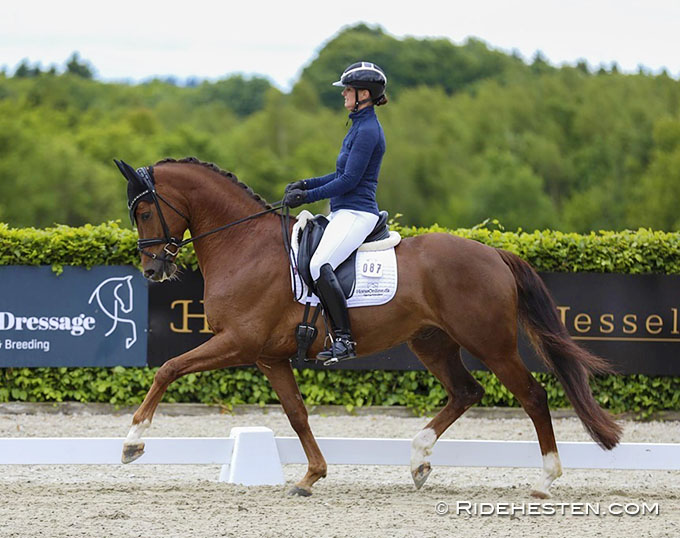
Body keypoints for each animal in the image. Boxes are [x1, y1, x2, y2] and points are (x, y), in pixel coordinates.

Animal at [116, 156, 622, 498]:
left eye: (144, 212)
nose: (152, 269)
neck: (243, 245)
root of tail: (494, 253)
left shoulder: (238, 342)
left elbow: (168, 368)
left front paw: (133, 443)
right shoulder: (268, 356)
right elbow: (296, 414)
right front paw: (311, 476)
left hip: (491, 344)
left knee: (532, 396)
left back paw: (545, 480)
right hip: (432, 343)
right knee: (466, 392)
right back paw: (418, 461)